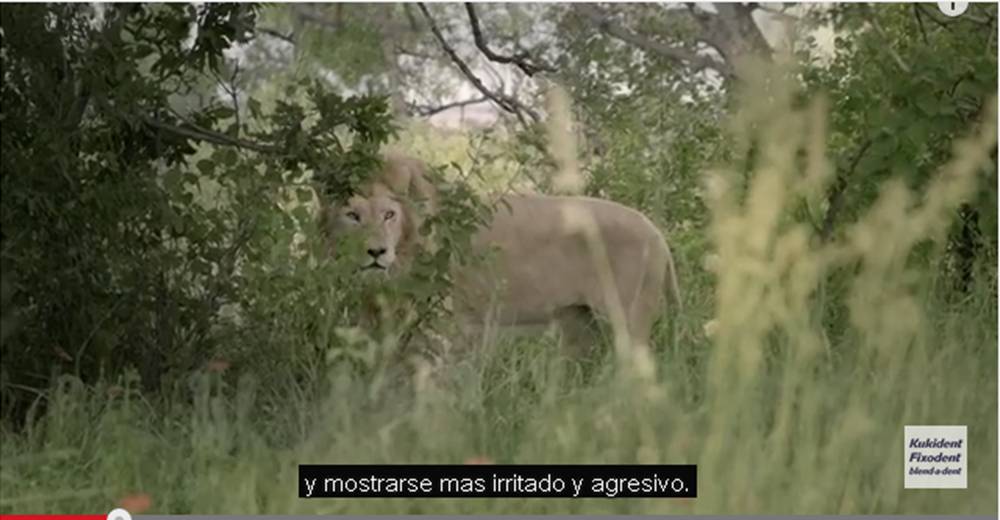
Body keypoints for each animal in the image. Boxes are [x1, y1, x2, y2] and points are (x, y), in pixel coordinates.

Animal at [321, 155, 682, 356]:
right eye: (352, 215)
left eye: (388, 215)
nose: (376, 252)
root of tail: (658, 234)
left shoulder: (440, 327)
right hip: (581, 324)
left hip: (626, 320)